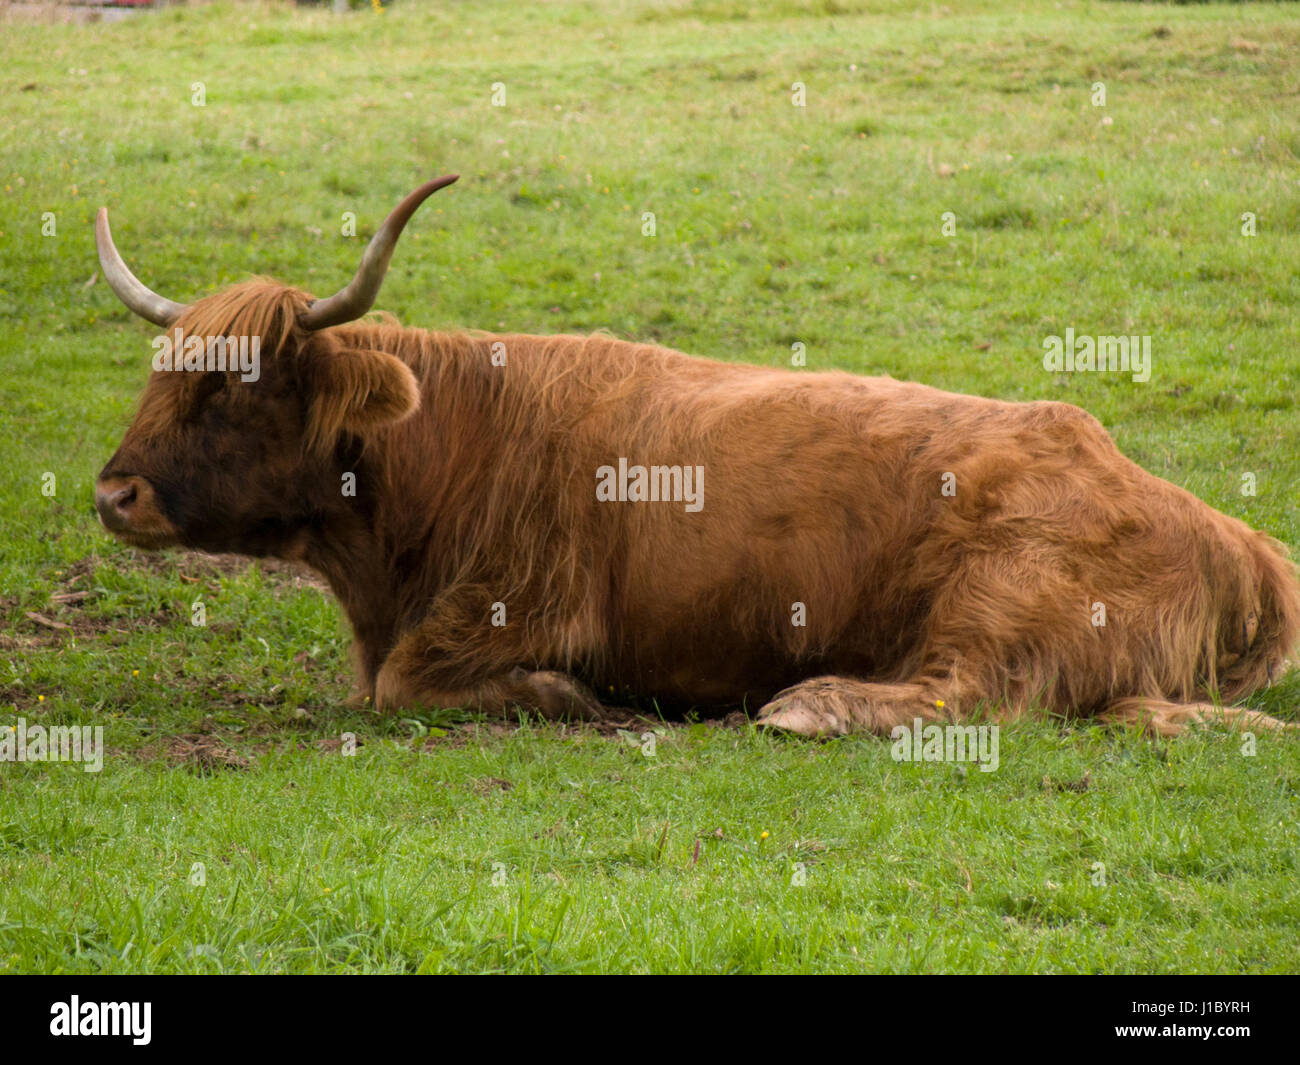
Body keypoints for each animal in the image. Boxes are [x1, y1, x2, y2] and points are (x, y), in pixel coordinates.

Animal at [92, 176, 1300, 738]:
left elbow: (408, 683)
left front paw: (576, 698)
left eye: (233, 387)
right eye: (162, 376)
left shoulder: (512, 605)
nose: (114, 491)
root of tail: (1239, 542)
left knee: (967, 693)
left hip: (1002, 593)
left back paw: (808, 705)